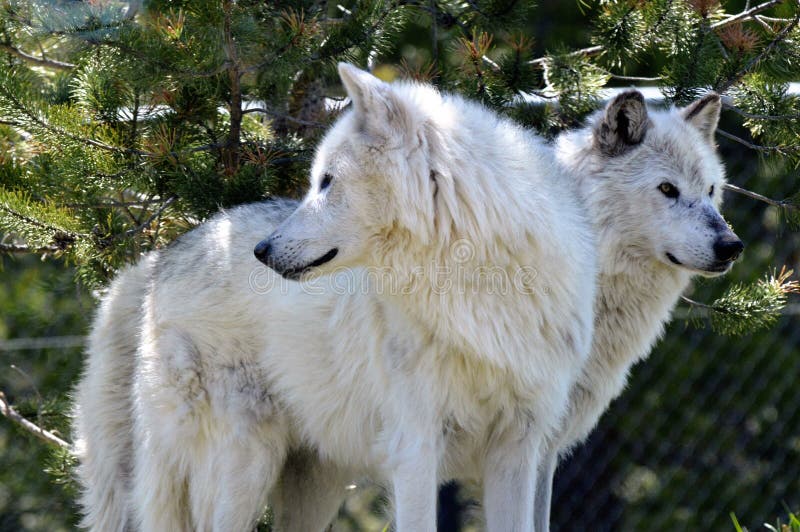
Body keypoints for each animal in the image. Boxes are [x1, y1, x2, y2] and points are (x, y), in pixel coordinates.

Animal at [73, 63, 597, 531]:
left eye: (327, 181)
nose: (261, 251)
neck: (476, 291)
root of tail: (160, 259)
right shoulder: (415, 448)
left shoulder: (520, 451)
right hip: (241, 466)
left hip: (313, 486)